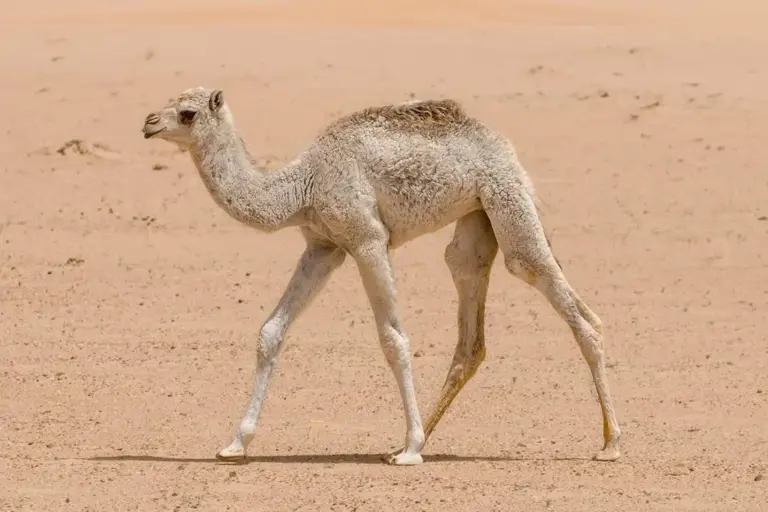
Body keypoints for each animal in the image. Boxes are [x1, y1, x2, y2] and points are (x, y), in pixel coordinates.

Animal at [141, 86, 621, 466]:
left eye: (188, 112)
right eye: (169, 101)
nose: (148, 121)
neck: (302, 186)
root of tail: (500, 142)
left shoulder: (367, 239)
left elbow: (393, 340)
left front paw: (411, 451)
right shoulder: (323, 247)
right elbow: (271, 331)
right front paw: (235, 445)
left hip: (506, 195)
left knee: (556, 290)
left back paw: (610, 443)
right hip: (476, 217)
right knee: (468, 309)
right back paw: (412, 439)